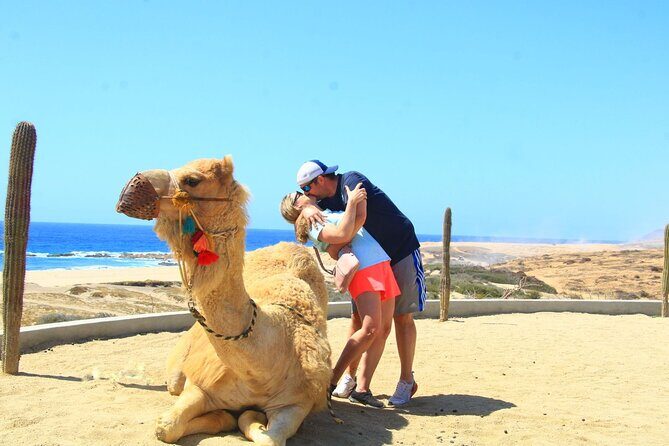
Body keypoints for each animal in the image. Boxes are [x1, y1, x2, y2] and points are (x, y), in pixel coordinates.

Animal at [116, 156, 332, 445]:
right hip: (175, 369)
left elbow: (269, 438)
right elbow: (166, 427)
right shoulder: (200, 382)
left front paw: (246, 416)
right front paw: (227, 416)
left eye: (192, 180)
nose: (130, 187)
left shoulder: (297, 403)